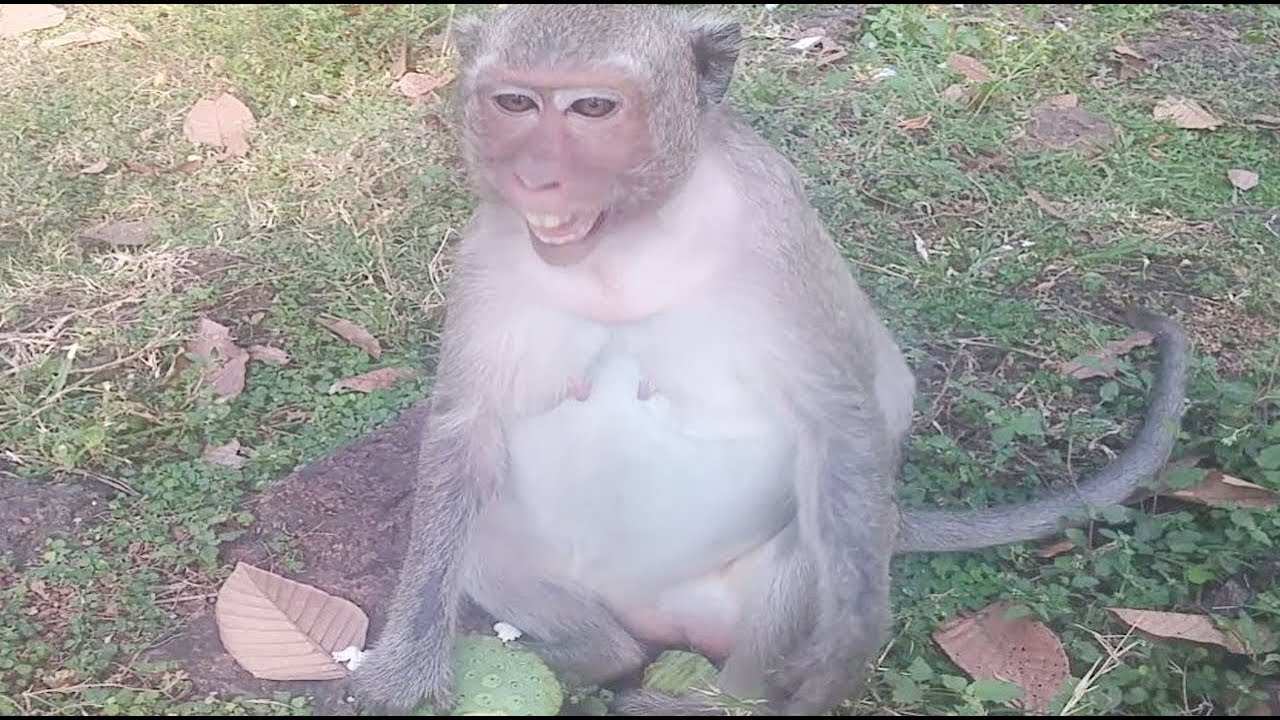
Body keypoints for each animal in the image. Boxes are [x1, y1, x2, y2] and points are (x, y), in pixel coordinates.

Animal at [351, 4, 1190, 716]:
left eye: (592, 109)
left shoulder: (775, 231)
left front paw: (845, 656)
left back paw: (719, 696)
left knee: (821, 539)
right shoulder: (489, 248)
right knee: (483, 538)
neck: (627, 242)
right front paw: (406, 670)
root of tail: (653, 613)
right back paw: (595, 655)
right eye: (516, 103)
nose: (534, 176)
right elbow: (465, 428)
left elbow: (847, 419)